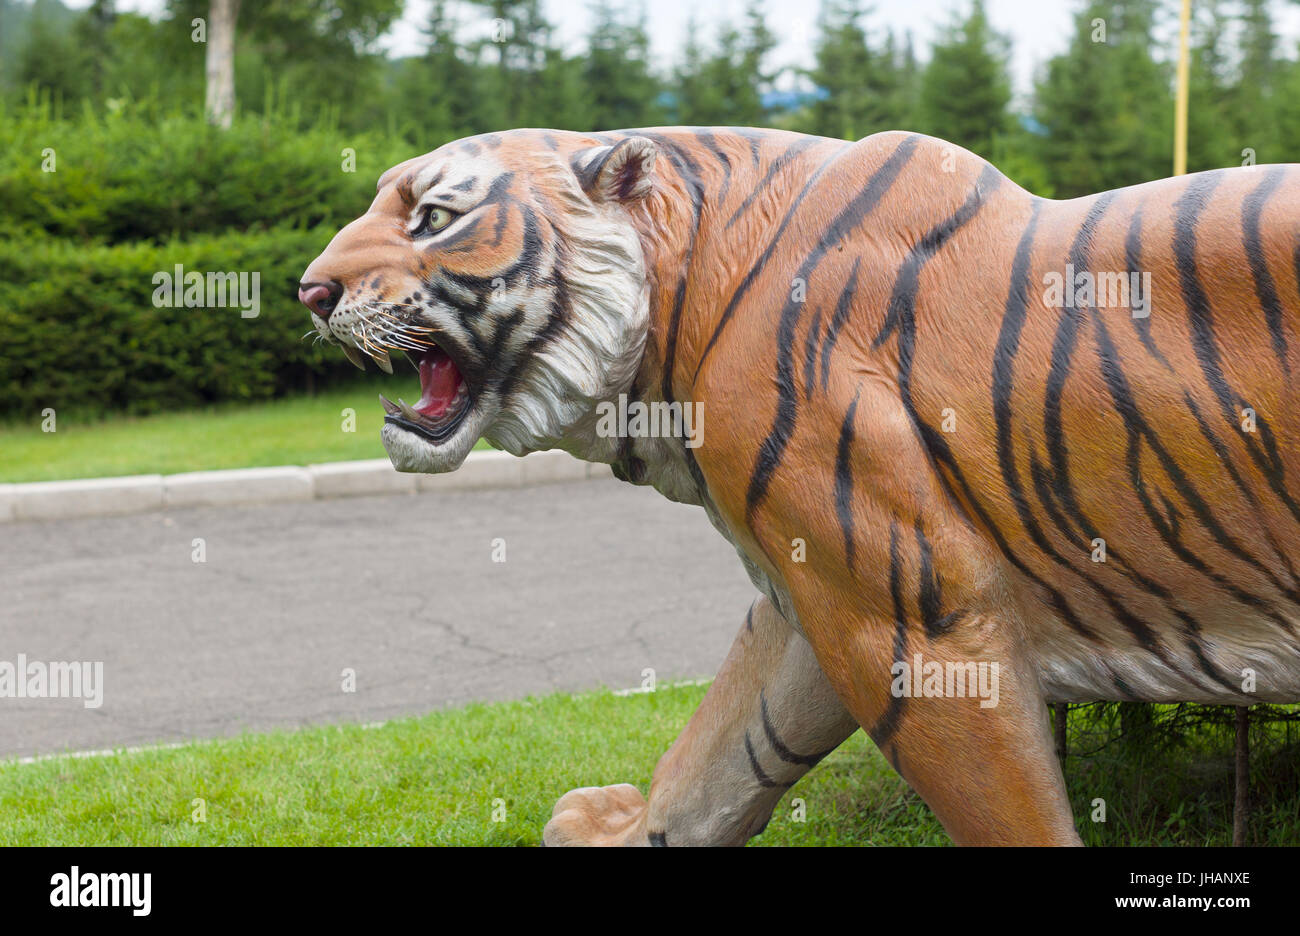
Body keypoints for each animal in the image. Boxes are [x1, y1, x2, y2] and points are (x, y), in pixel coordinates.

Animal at [299, 126, 1300, 846]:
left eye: (434, 216)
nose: (308, 291)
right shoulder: (825, 586)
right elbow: (726, 743)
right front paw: (615, 828)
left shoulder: (922, 613)